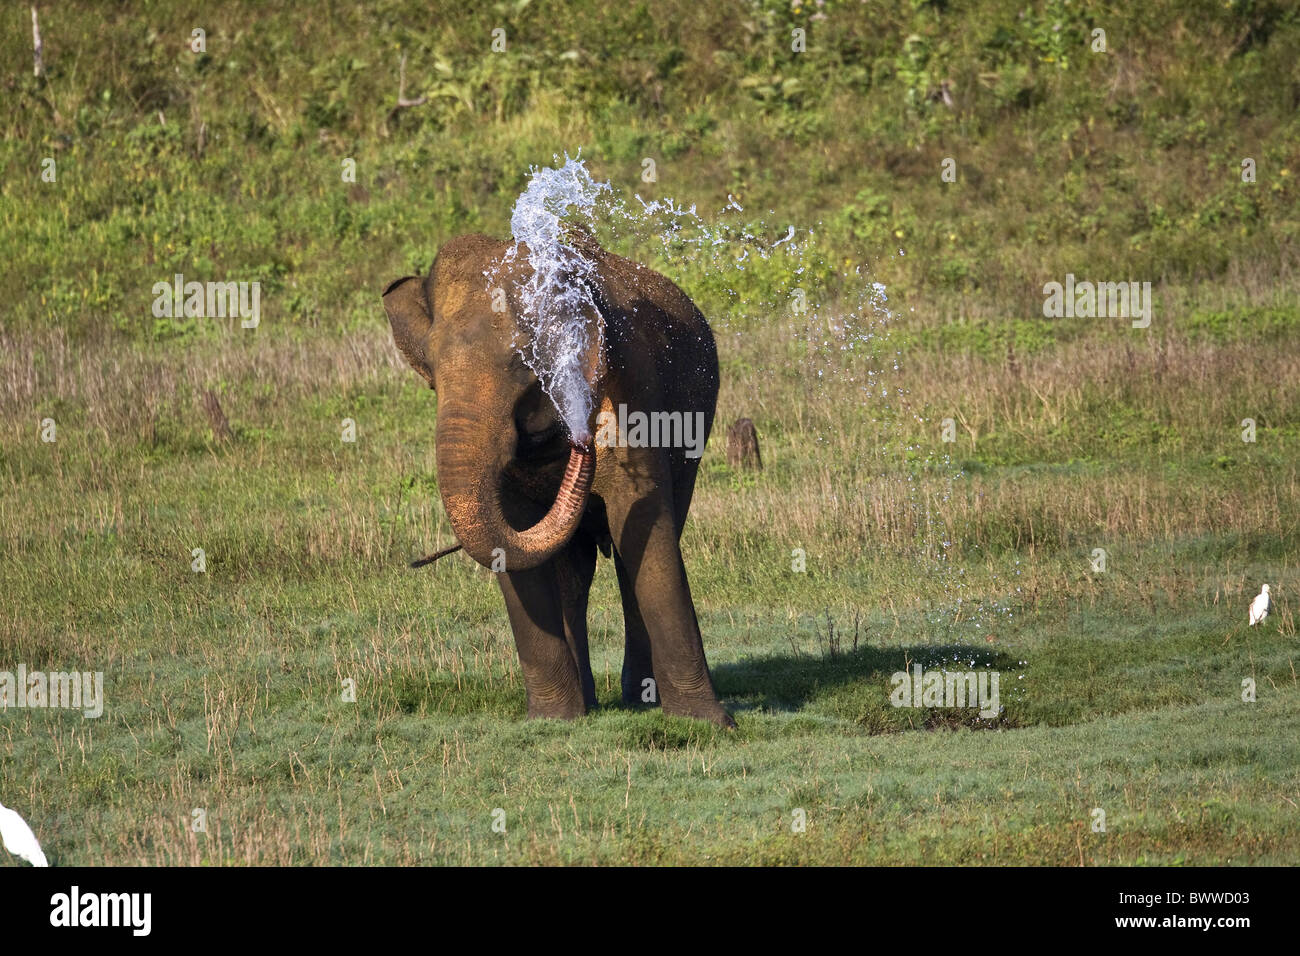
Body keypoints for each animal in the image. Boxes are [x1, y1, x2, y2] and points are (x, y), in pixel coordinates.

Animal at [382, 230, 733, 728]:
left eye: (520, 362)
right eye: (431, 369)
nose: (584, 440)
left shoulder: (632, 390)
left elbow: (645, 526)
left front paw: (707, 722)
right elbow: (512, 546)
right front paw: (552, 722)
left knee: (633, 553)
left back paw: (640, 700)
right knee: (574, 575)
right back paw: (589, 705)